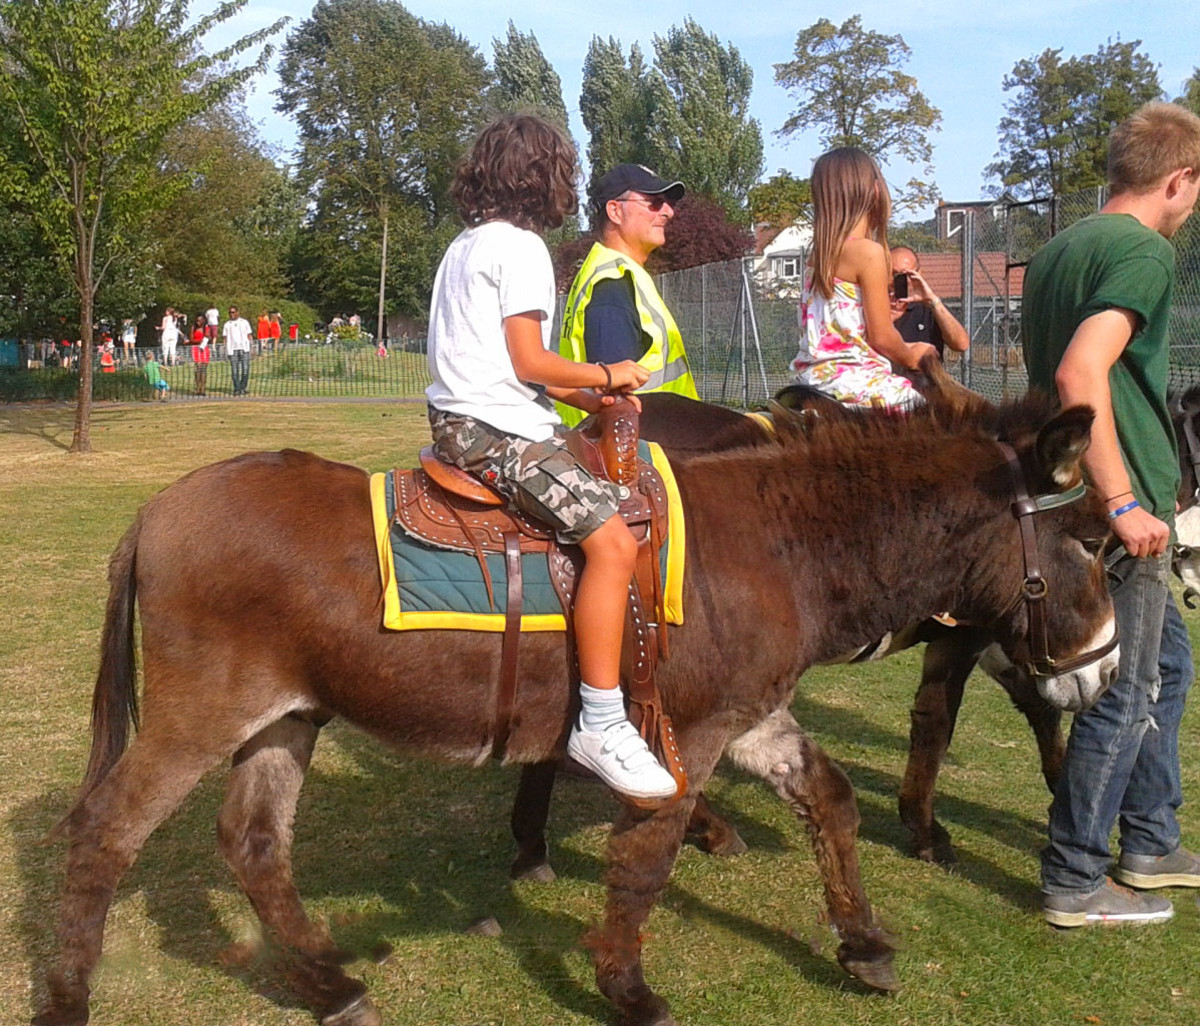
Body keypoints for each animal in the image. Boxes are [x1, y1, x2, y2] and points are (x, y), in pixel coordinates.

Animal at [33, 388, 1119, 1026]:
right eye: (1094, 544)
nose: (1105, 674)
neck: (784, 544)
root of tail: (153, 511)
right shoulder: (695, 731)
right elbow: (648, 858)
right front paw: (627, 989)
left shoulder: (751, 715)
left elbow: (831, 799)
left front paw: (864, 944)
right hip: (199, 714)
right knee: (102, 835)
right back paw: (67, 997)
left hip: (284, 717)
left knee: (254, 846)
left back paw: (331, 986)